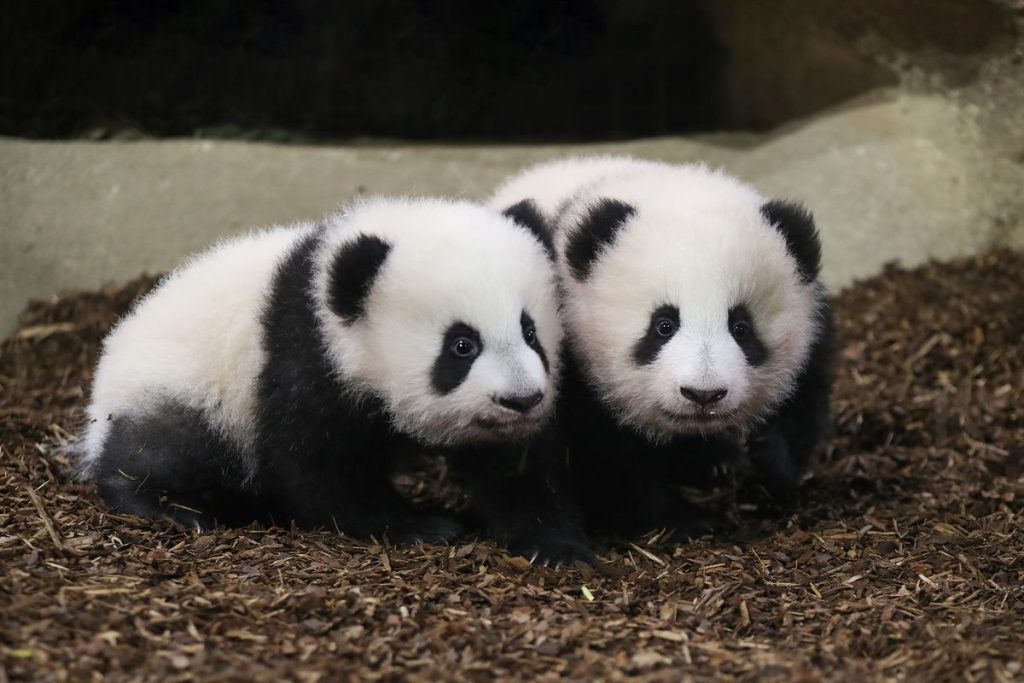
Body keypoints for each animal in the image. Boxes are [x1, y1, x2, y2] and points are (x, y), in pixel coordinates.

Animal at [80, 197, 592, 563]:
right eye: (461, 346)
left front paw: (554, 545)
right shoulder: (303, 357)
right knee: (165, 447)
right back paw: (166, 507)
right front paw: (421, 527)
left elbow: (516, 465)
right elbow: (318, 466)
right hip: (185, 388)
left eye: (531, 332)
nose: (521, 399)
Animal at [491, 156, 835, 539]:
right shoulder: (574, 357)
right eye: (663, 325)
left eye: (741, 328)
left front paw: (766, 458)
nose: (703, 394)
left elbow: (803, 401)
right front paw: (685, 518)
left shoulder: (810, 327)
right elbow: (611, 461)